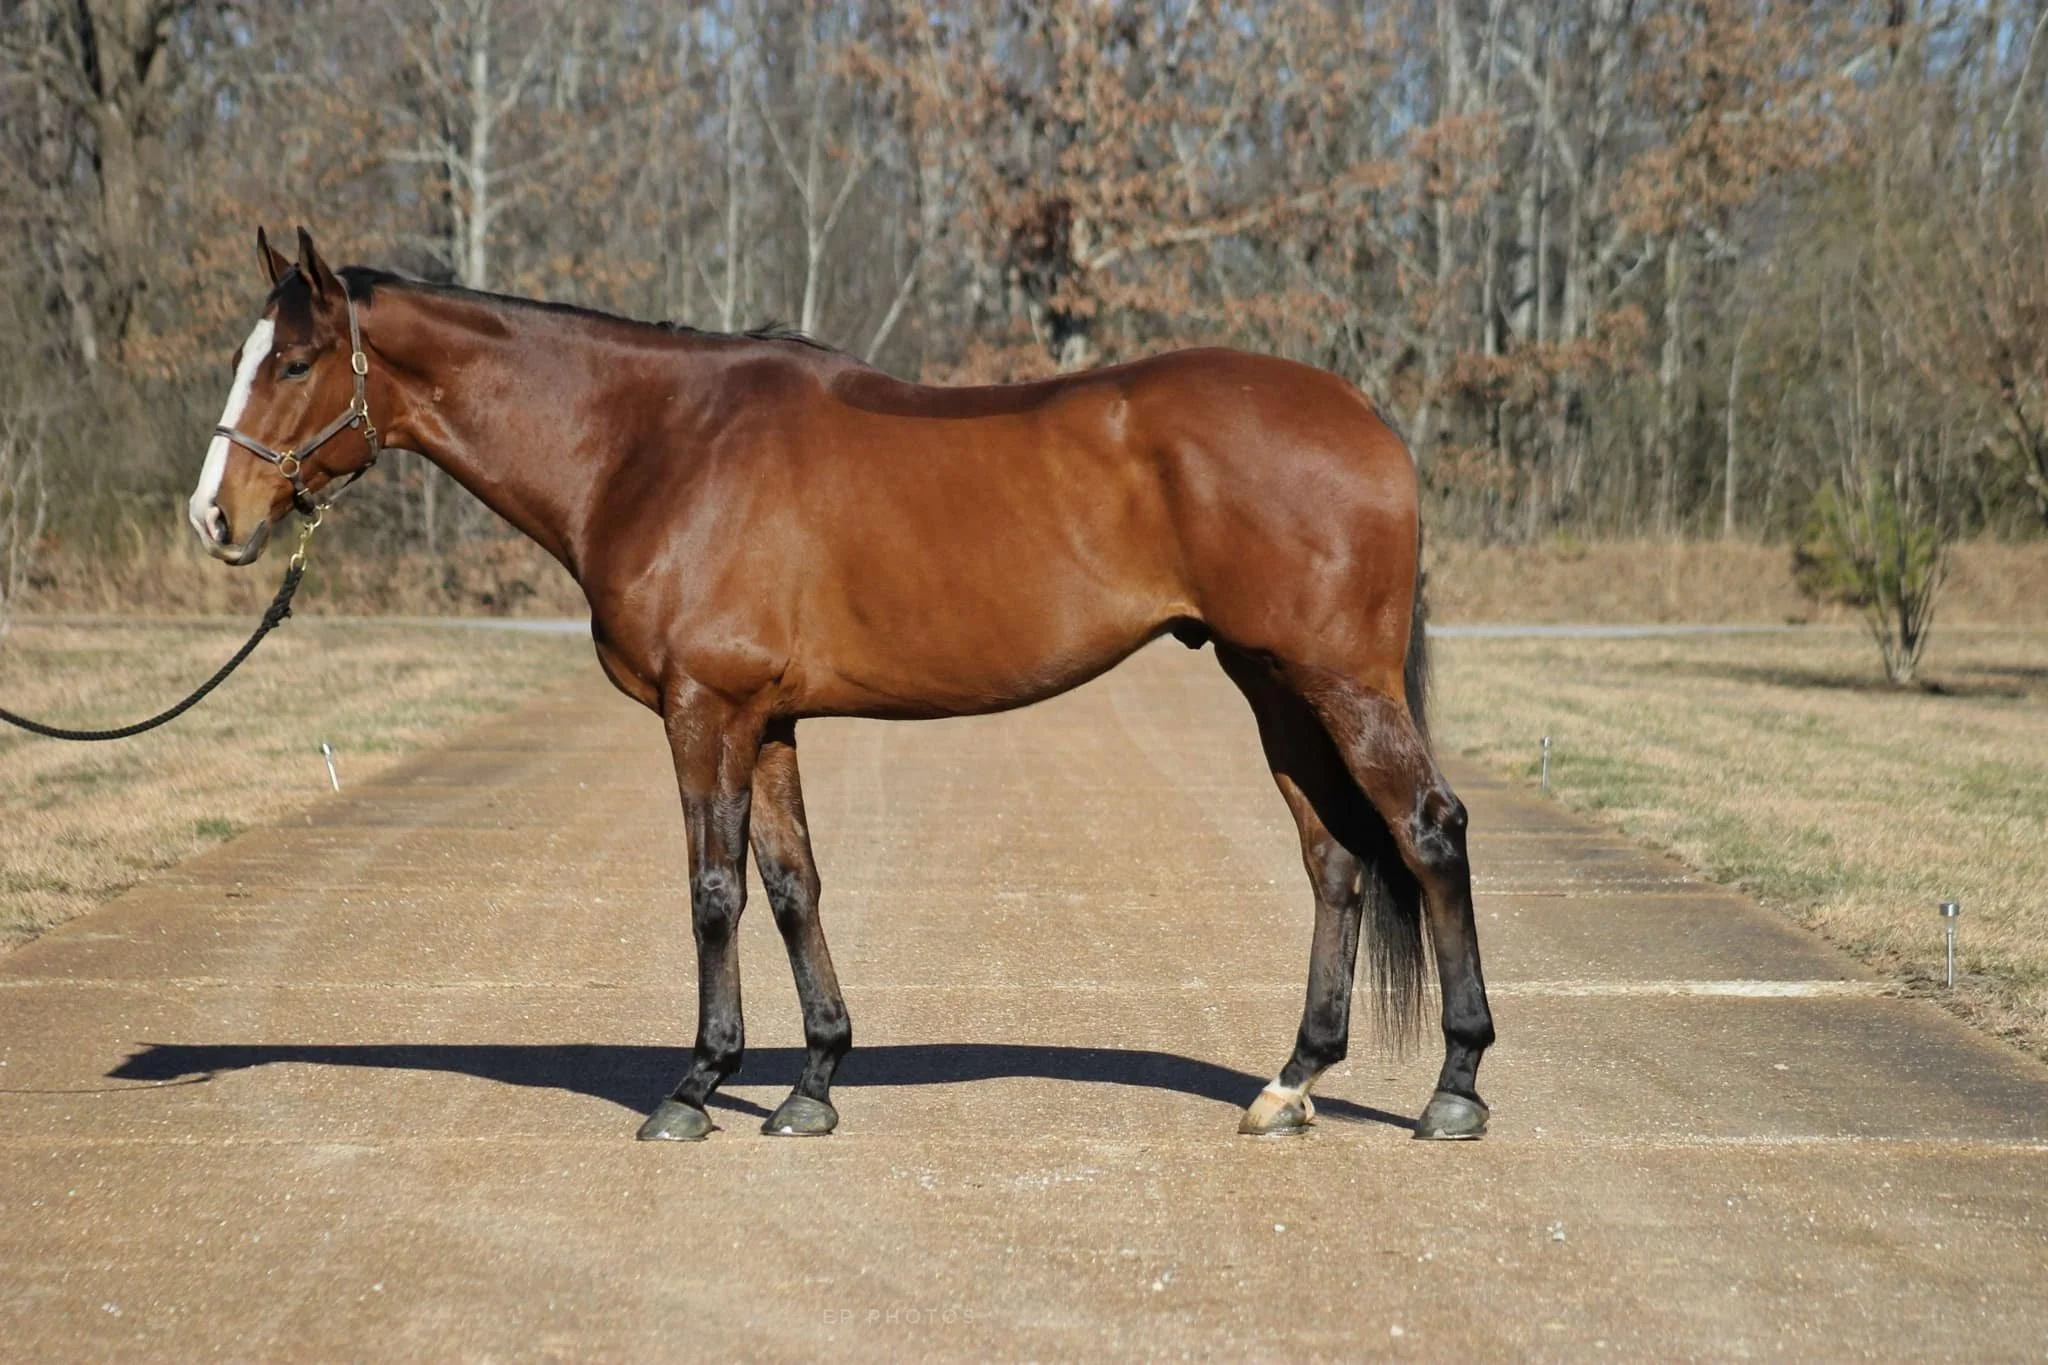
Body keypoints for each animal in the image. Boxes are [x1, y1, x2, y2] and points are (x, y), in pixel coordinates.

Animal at [189, 227, 1494, 1143]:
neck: (654, 443)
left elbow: (712, 891)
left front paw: (697, 1084)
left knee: (1427, 832)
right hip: (1271, 683)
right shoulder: (765, 719)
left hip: (1338, 682)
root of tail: (1363, 416)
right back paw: (1290, 1083)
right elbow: (790, 886)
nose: (215, 519)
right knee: (1334, 859)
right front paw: (811, 1080)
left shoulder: (702, 711)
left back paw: (1454, 1086)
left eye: (294, 361)